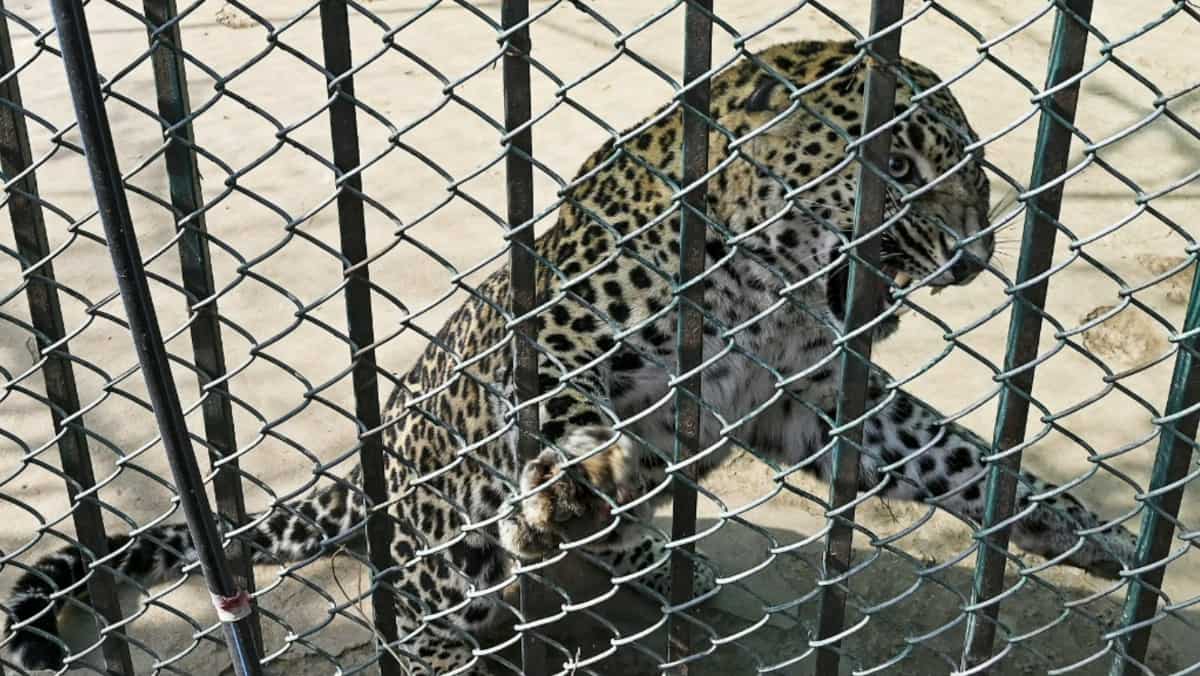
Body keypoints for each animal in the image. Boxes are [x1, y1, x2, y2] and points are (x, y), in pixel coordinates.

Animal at [4, 39, 1136, 675]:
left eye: (976, 178)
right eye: (898, 167)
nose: (976, 258)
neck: (766, 292)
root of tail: (375, 473)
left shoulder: (810, 399)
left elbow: (956, 457)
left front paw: (1081, 532)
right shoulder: (557, 337)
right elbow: (562, 412)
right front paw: (577, 478)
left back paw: (648, 559)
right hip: (445, 549)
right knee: (426, 614)